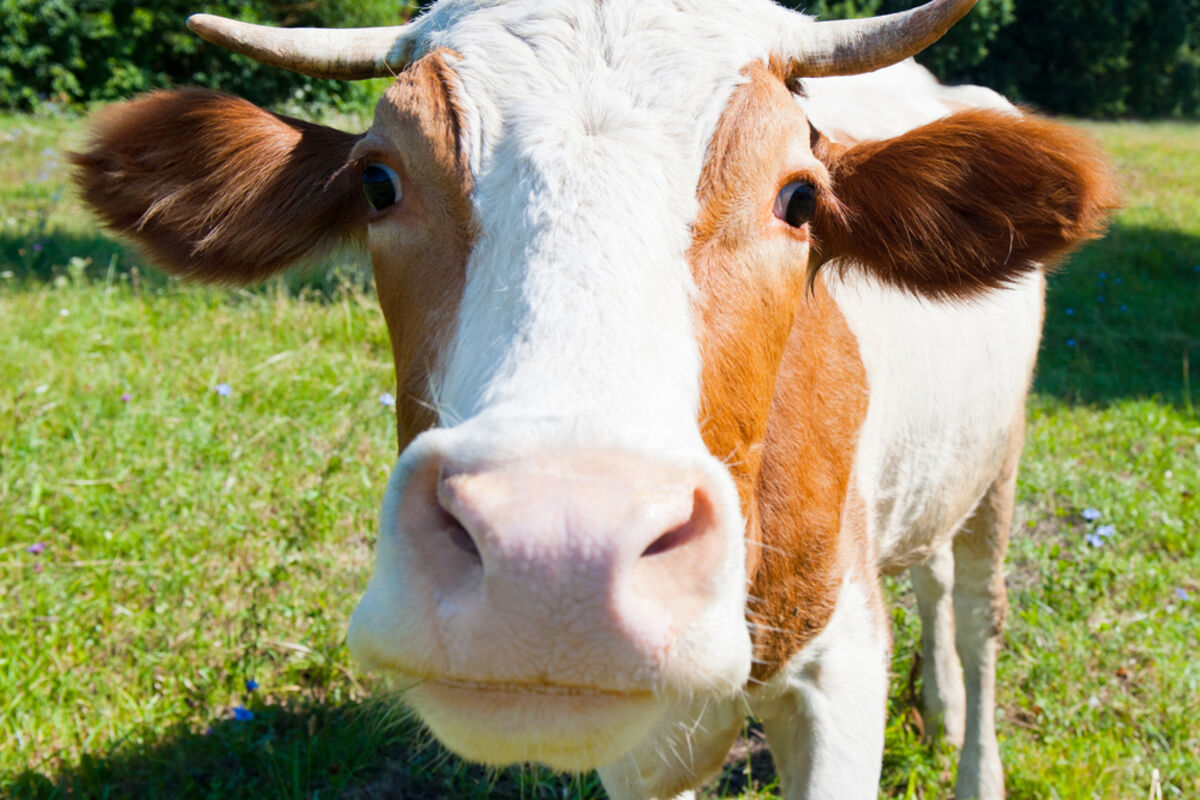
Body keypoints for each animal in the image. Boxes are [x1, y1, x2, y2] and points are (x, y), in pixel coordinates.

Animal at [70, 0, 1118, 797]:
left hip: (1002, 459)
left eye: (798, 198)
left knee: (976, 608)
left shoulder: (837, 669)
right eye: (377, 181)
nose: (553, 562)